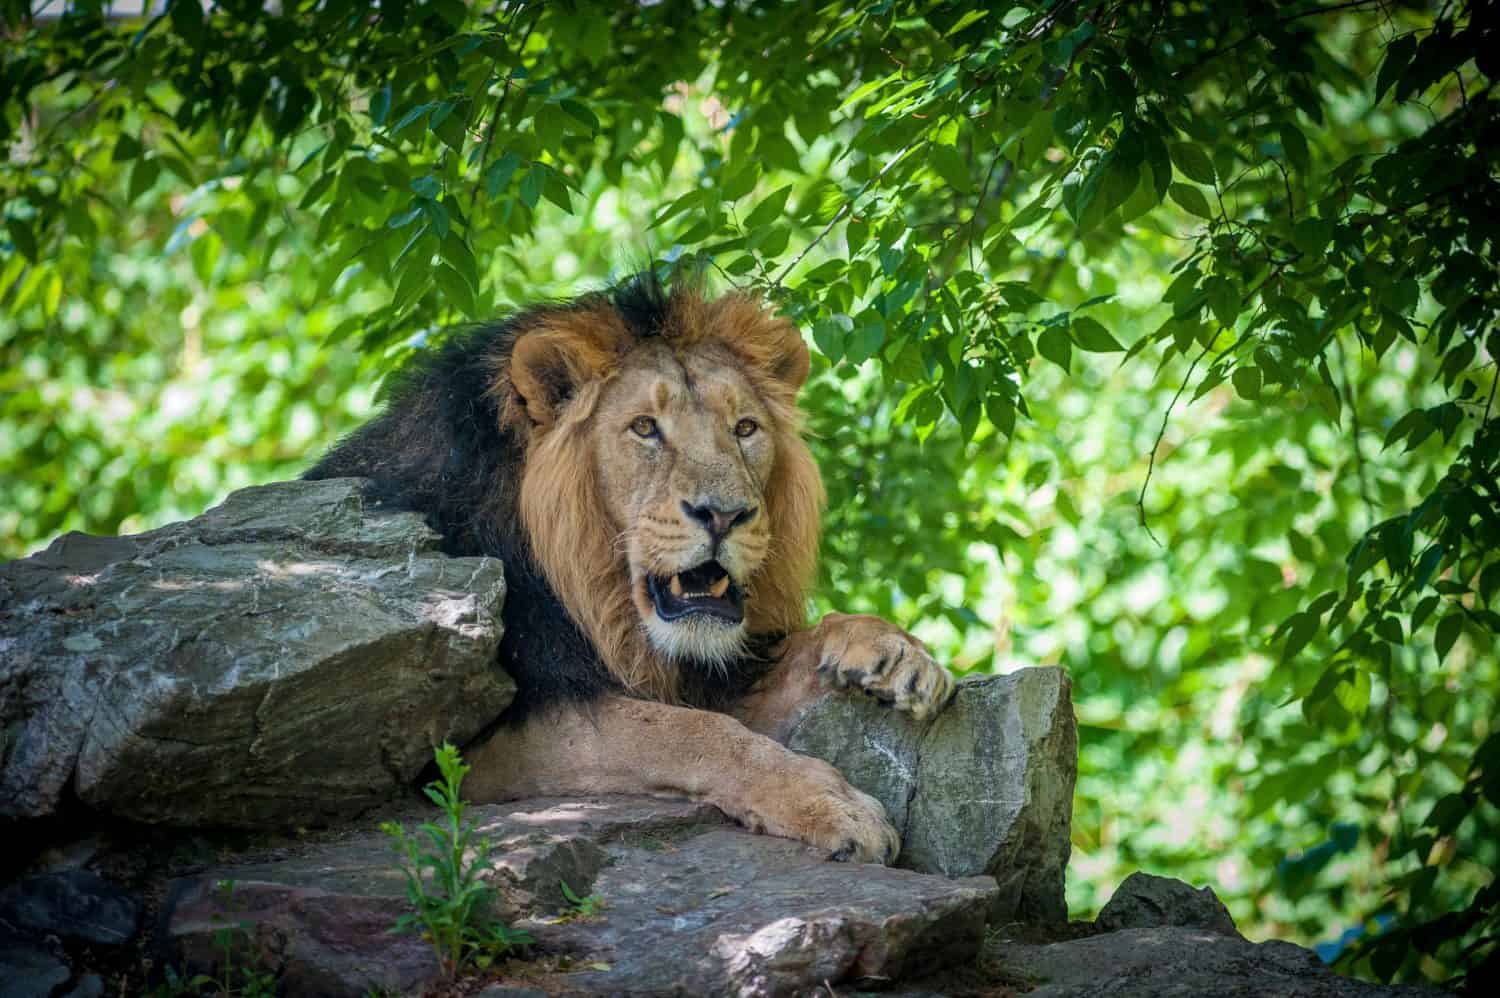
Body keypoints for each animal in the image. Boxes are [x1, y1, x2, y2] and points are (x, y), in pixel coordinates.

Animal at [306, 272, 955, 863]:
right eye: (645, 427)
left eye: (745, 428)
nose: (724, 515)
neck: (601, 603)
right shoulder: (473, 747)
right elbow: (688, 732)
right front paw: (832, 804)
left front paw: (895, 652)